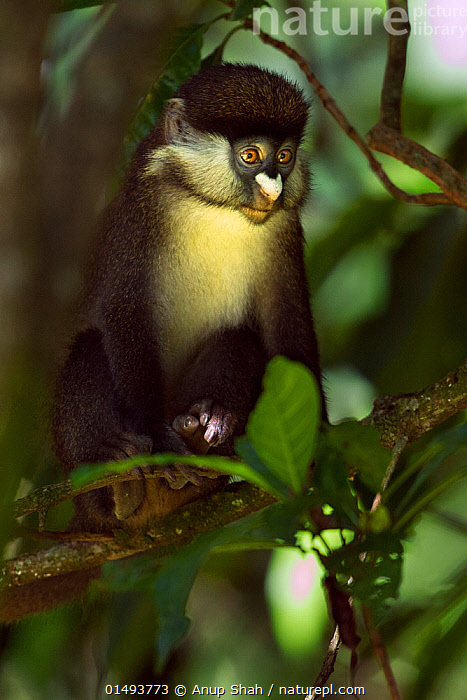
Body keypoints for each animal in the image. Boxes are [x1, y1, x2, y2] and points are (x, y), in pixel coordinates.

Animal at [0, 63, 325, 622]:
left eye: (284, 156)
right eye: (251, 156)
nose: (273, 189)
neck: (213, 207)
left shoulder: (283, 231)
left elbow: (287, 332)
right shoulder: (141, 214)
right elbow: (123, 314)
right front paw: (153, 436)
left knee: (239, 340)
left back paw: (206, 430)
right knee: (90, 346)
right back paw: (123, 478)